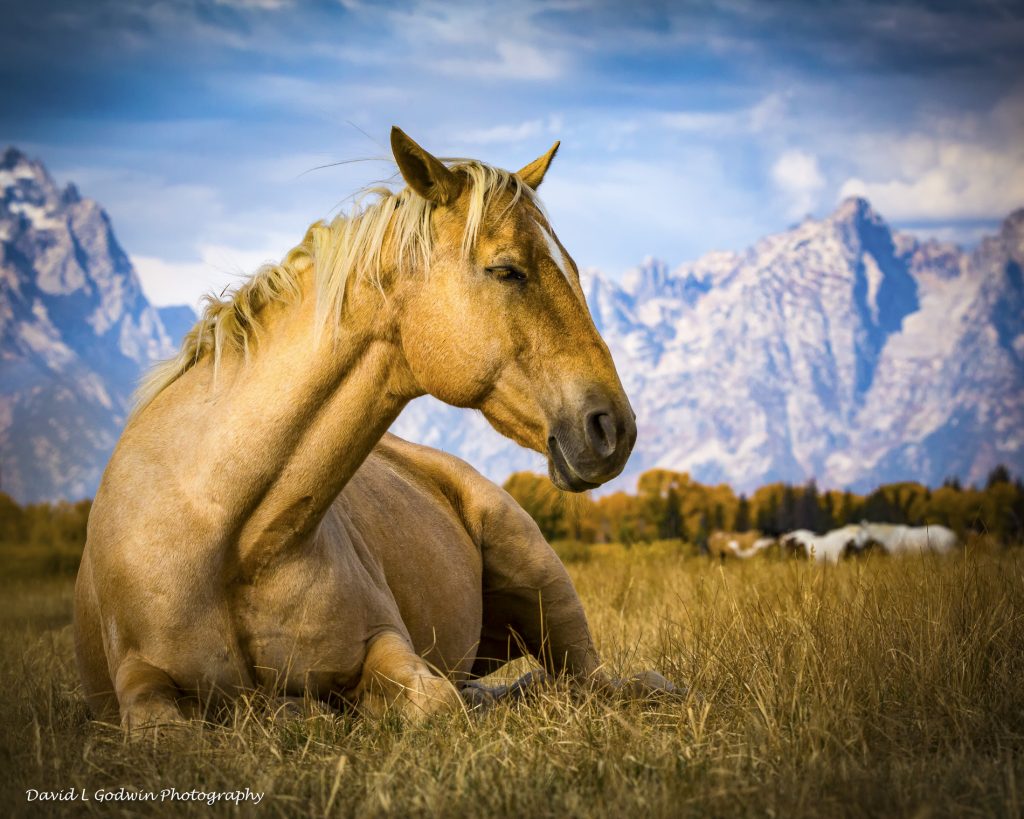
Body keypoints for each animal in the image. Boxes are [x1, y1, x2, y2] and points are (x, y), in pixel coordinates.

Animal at [74, 127, 674, 731]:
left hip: (541, 579)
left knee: (594, 683)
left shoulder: (385, 643)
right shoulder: (140, 682)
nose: (613, 428)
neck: (232, 538)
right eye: (506, 270)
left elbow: (436, 701)